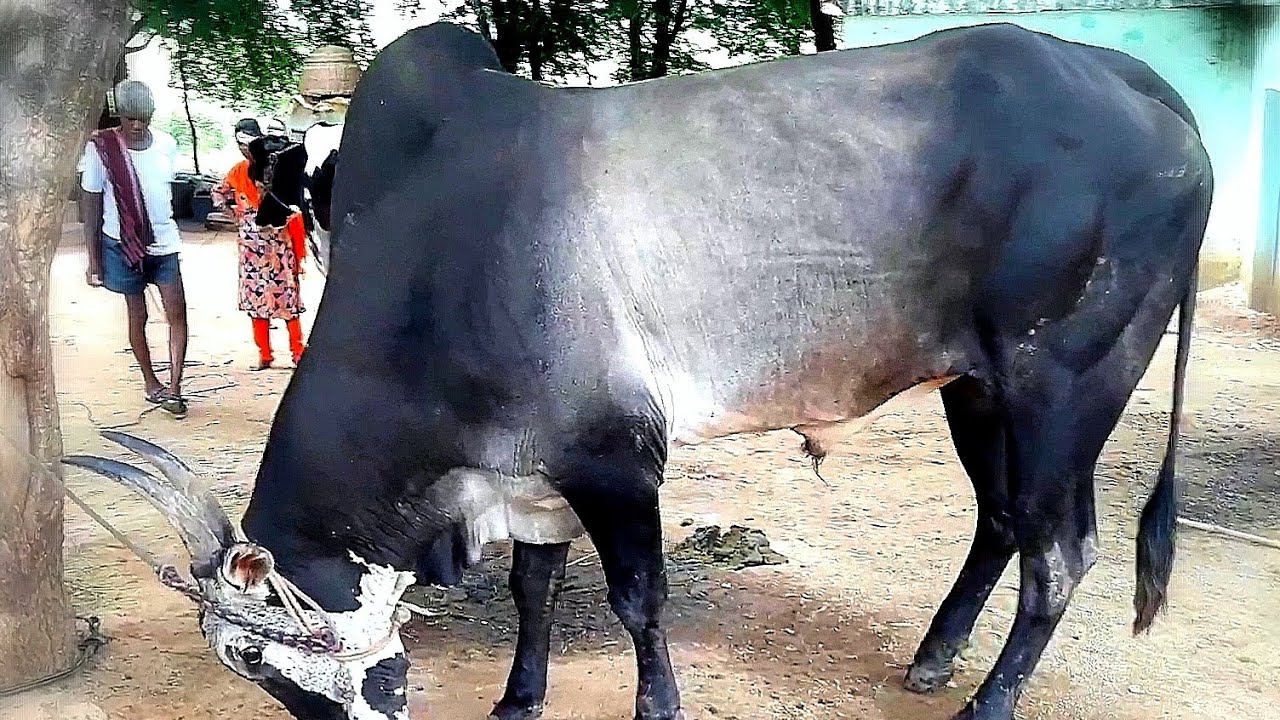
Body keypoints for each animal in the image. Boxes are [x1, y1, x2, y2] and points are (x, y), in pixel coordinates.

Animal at [63, 19, 1212, 720]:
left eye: (251, 657)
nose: (372, 704)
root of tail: (1138, 84)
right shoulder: (529, 478)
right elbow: (533, 587)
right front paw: (518, 695)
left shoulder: (614, 460)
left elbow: (636, 602)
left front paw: (653, 702)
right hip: (978, 391)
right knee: (1002, 523)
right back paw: (934, 658)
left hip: (1063, 385)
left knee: (1060, 552)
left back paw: (988, 696)